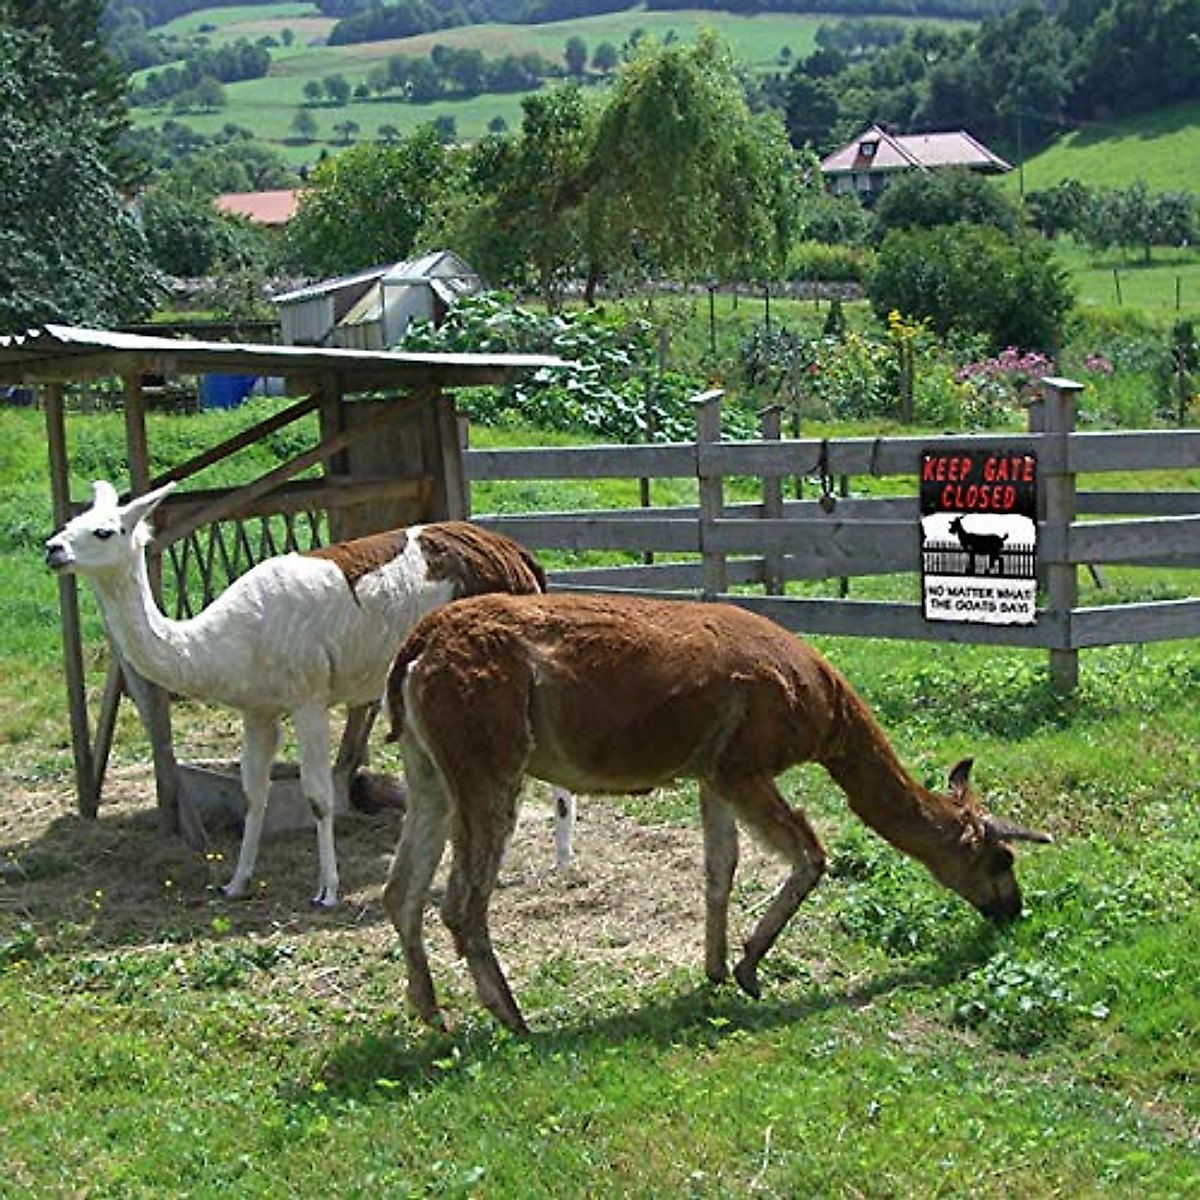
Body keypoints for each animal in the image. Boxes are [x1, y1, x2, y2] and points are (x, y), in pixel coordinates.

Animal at [44, 480, 576, 908]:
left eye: (104, 531)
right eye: (69, 522)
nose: (52, 549)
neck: (227, 641)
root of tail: (520, 557)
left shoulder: (309, 698)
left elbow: (319, 797)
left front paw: (328, 890)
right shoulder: (259, 710)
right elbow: (253, 795)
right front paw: (237, 882)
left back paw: (559, 859)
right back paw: (553, 856)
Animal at [381, 591, 1052, 1033]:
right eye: (1002, 858)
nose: (1012, 911)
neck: (827, 716)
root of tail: (417, 644)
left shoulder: (710, 773)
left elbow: (719, 869)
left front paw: (714, 971)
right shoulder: (742, 763)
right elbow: (810, 853)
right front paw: (750, 968)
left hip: (429, 768)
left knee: (401, 890)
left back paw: (431, 1014)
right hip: (489, 759)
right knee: (460, 902)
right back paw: (513, 1018)